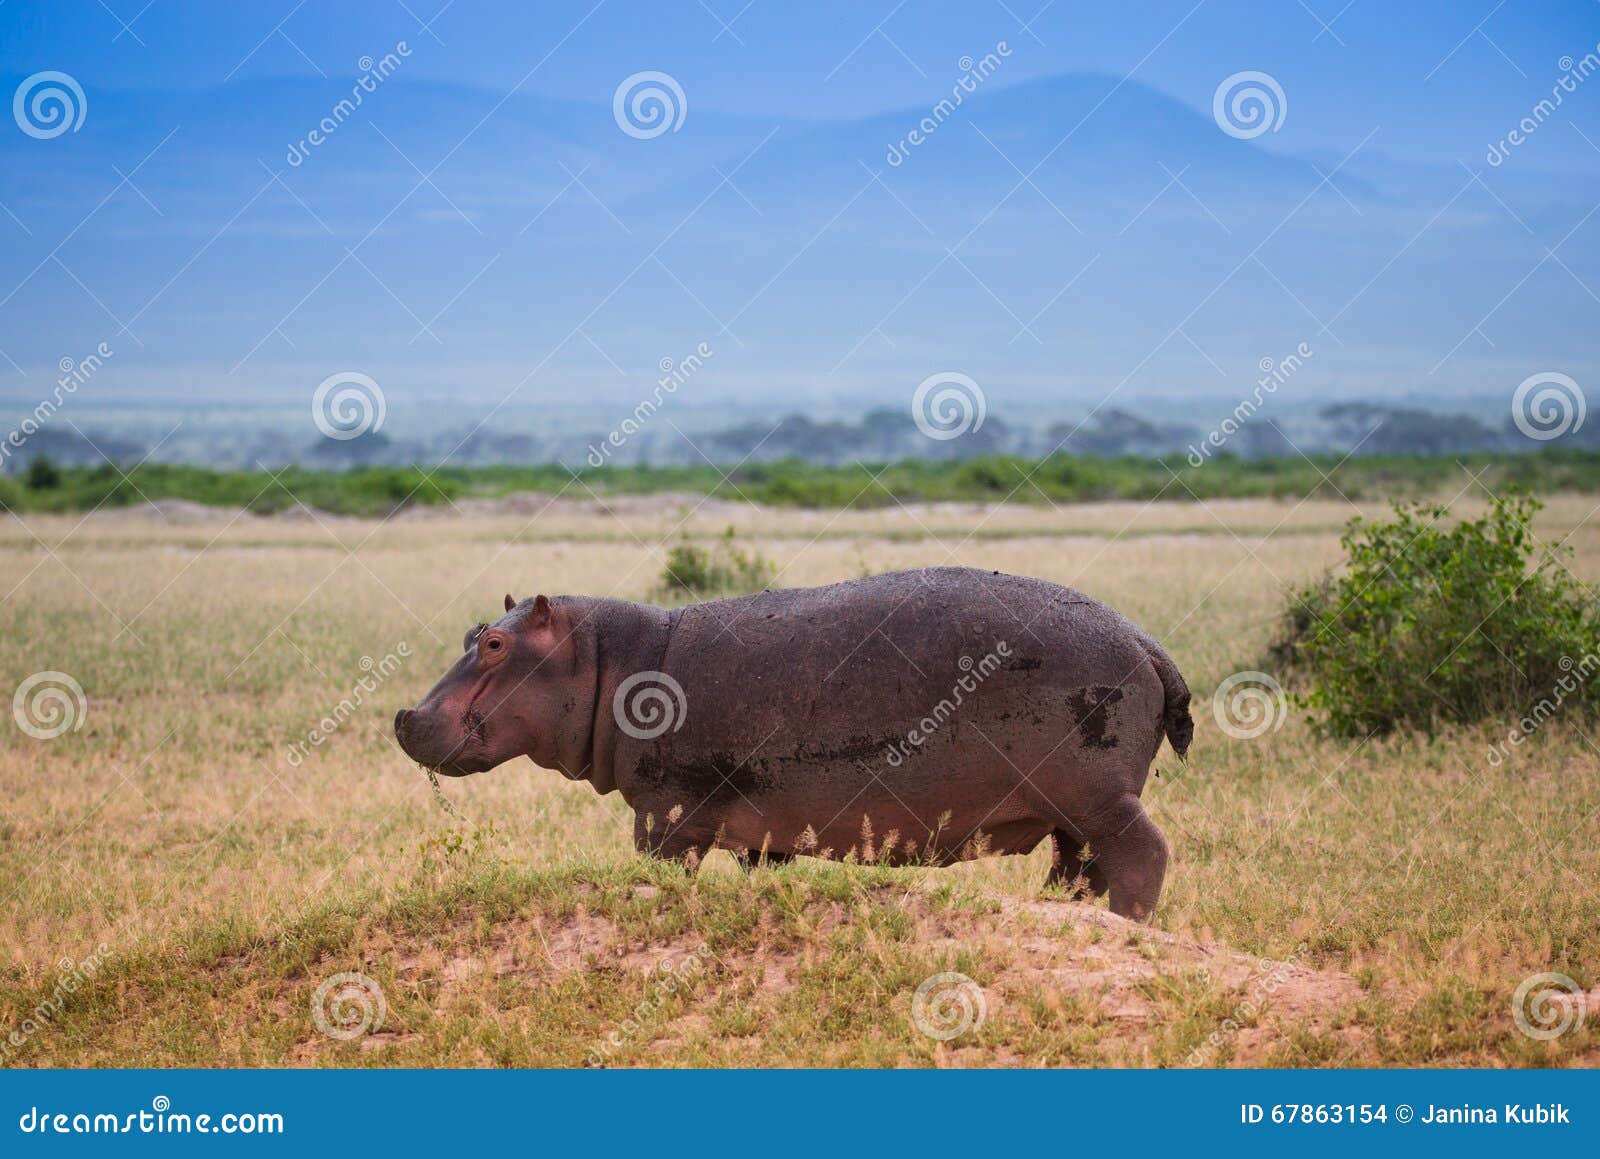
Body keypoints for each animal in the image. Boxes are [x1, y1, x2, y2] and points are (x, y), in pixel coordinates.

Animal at [394, 567, 1192, 921]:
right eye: (471, 633)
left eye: (495, 644)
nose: (404, 715)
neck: (612, 660)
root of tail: (1151, 643)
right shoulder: (768, 819)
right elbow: (766, 870)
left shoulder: (666, 812)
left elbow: (659, 865)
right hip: (1070, 810)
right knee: (1077, 869)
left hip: (1098, 796)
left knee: (1142, 855)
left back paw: (1128, 926)